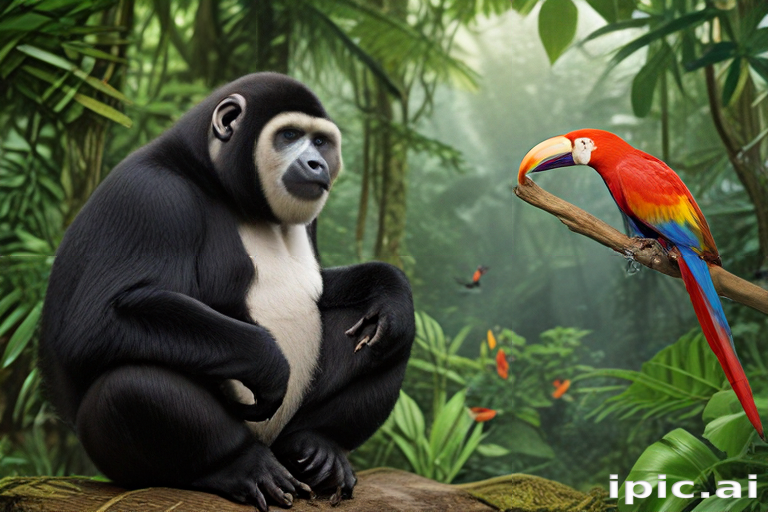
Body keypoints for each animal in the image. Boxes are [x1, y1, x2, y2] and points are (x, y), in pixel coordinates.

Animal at [39, 72, 415, 511]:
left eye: (320, 142)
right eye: (289, 136)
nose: (317, 164)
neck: (221, 185)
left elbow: (332, 291)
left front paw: (390, 288)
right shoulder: (149, 195)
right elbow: (95, 324)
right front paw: (267, 363)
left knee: (391, 340)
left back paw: (317, 444)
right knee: (132, 381)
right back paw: (238, 466)